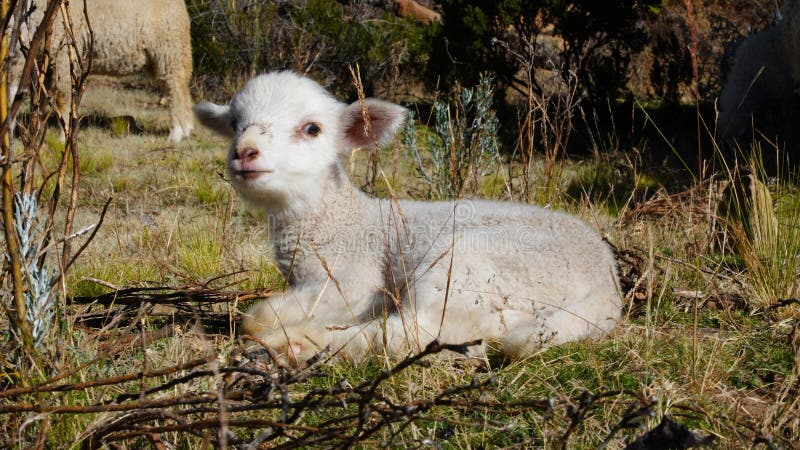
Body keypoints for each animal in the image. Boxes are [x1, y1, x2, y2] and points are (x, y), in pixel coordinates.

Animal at [12, 0, 193, 142]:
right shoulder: (42, 58)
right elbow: (38, 98)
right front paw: (35, 132)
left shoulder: (64, 52)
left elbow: (63, 98)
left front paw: (64, 137)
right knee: (180, 88)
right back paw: (187, 129)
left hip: (169, 50)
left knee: (176, 90)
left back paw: (177, 133)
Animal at [194, 71, 622, 365]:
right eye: (235, 124)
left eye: (312, 129)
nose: (245, 152)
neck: (339, 218)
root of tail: (608, 287)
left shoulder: (352, 277)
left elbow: (257, 316)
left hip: (469, 266)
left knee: (424, 331)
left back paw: (300, 344)